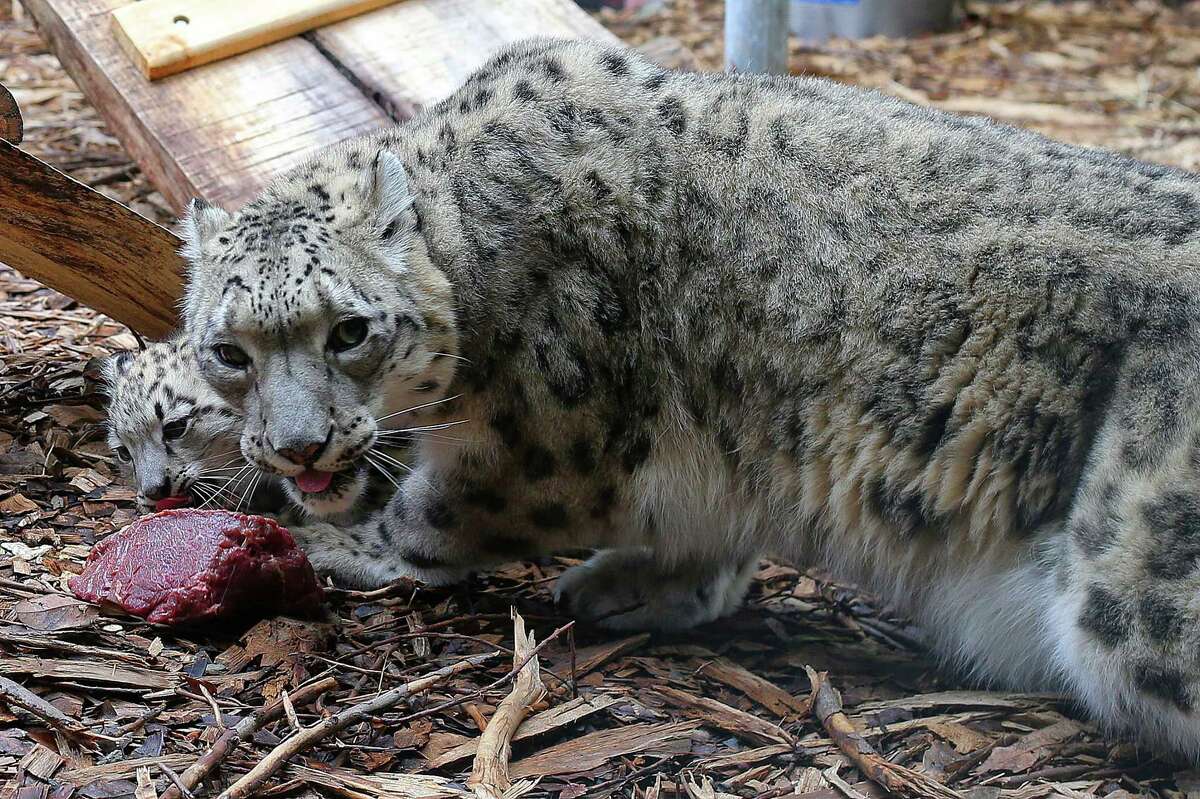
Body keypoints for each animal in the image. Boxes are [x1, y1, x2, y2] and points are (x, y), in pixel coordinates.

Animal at [179, 37, 1200, 760]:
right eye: (228, 351)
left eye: (349, 330)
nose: (297, 446)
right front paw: (643, 582)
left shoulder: (534, 451)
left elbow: (432, 518)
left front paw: (340, 544)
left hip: (1130, 578)